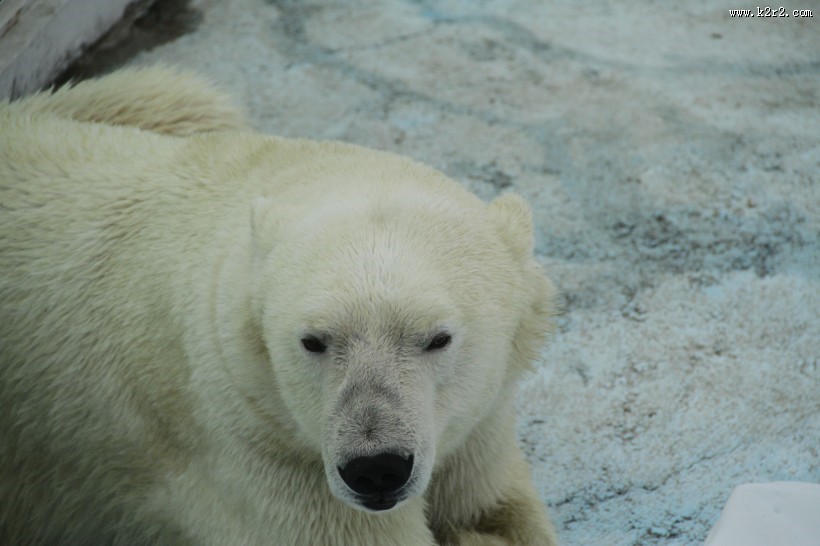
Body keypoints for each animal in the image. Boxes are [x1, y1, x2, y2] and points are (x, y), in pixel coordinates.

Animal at [0, 67, 559, 545]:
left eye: (438, 338)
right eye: (313, 341)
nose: (376, 467)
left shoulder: (476, 424)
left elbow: (489, 510)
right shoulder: (259, 451)